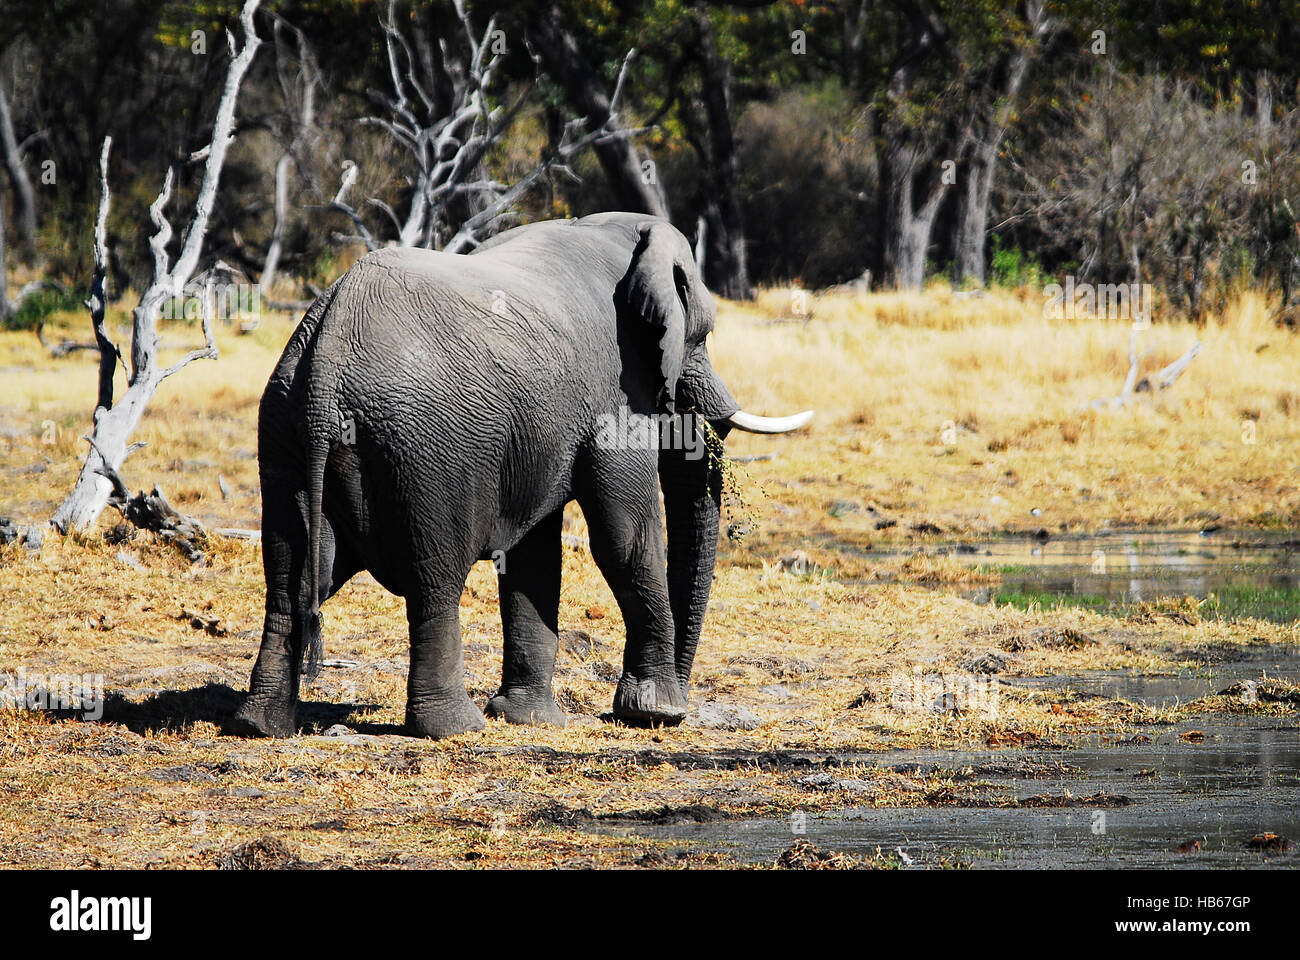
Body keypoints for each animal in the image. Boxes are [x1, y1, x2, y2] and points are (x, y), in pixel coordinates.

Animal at [226, 212, 812, 740]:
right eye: (702, 337)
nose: (684, 705)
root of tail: (326, 353)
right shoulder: (617, 391)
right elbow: (625, 538)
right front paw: (656, 714)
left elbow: (535, 553)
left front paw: (531, 720)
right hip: (425, 451)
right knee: (436, 578)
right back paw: (456, 729)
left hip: (282, 430)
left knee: (289, 575)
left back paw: (261, 725)